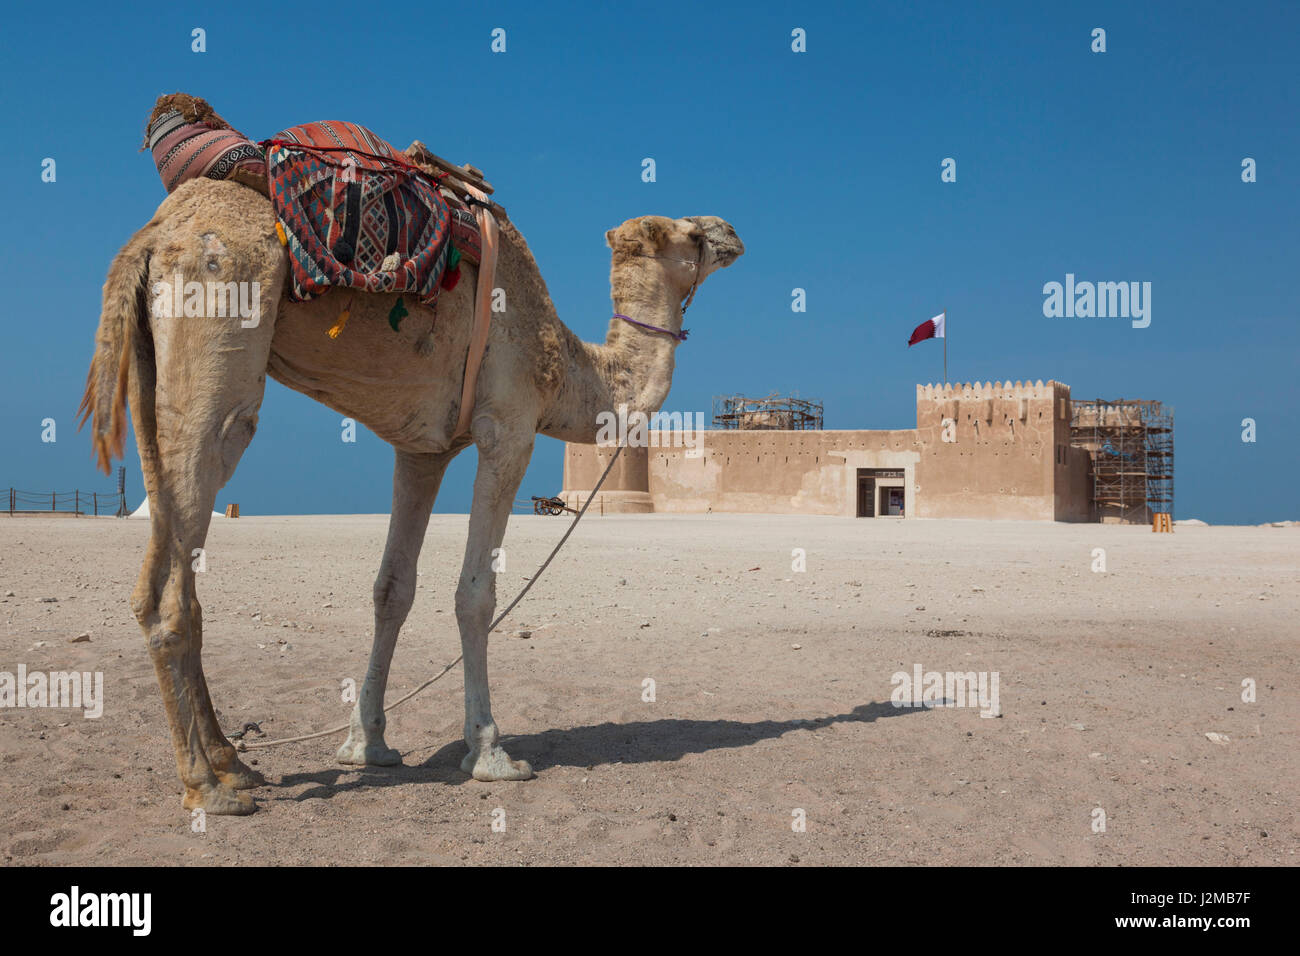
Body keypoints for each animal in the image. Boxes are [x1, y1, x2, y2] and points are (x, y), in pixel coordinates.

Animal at [79, 162, 742, 814]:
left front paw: (366, 744)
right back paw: (207, 786)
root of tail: (152, 235)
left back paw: (234, 763)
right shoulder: (508, 429)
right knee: (180, 555)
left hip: (149, 366)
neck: (563, 368)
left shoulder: (423, 450)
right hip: (219, 308)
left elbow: (391, 590)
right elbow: (475, 595)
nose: (731, 230)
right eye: (690, 234)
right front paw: (490, 754)